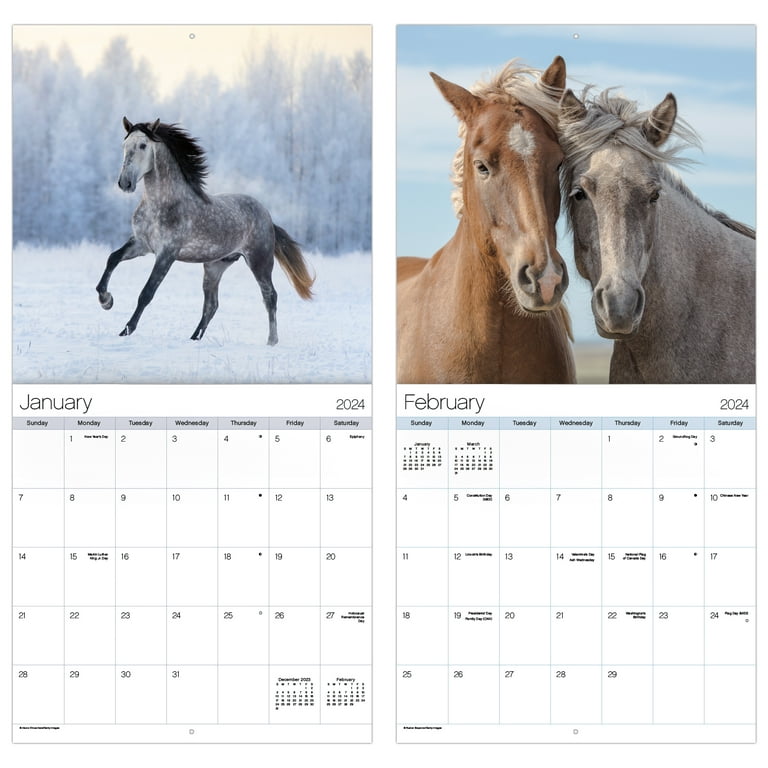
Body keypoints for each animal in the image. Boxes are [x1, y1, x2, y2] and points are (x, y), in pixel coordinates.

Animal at [96, 118, 314, 344]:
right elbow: (112, 258)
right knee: (211, 305)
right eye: (124, 145)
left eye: (143, 145)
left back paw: (271, 341)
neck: (162, 204)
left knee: (270, 296)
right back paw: (194, 338)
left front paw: (126, 330)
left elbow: (147, 292)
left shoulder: (167, 254)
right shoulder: (141, 244)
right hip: (214, 267)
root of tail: (268, 217)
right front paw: (106, 300)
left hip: (259, 262)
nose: (125, 183)